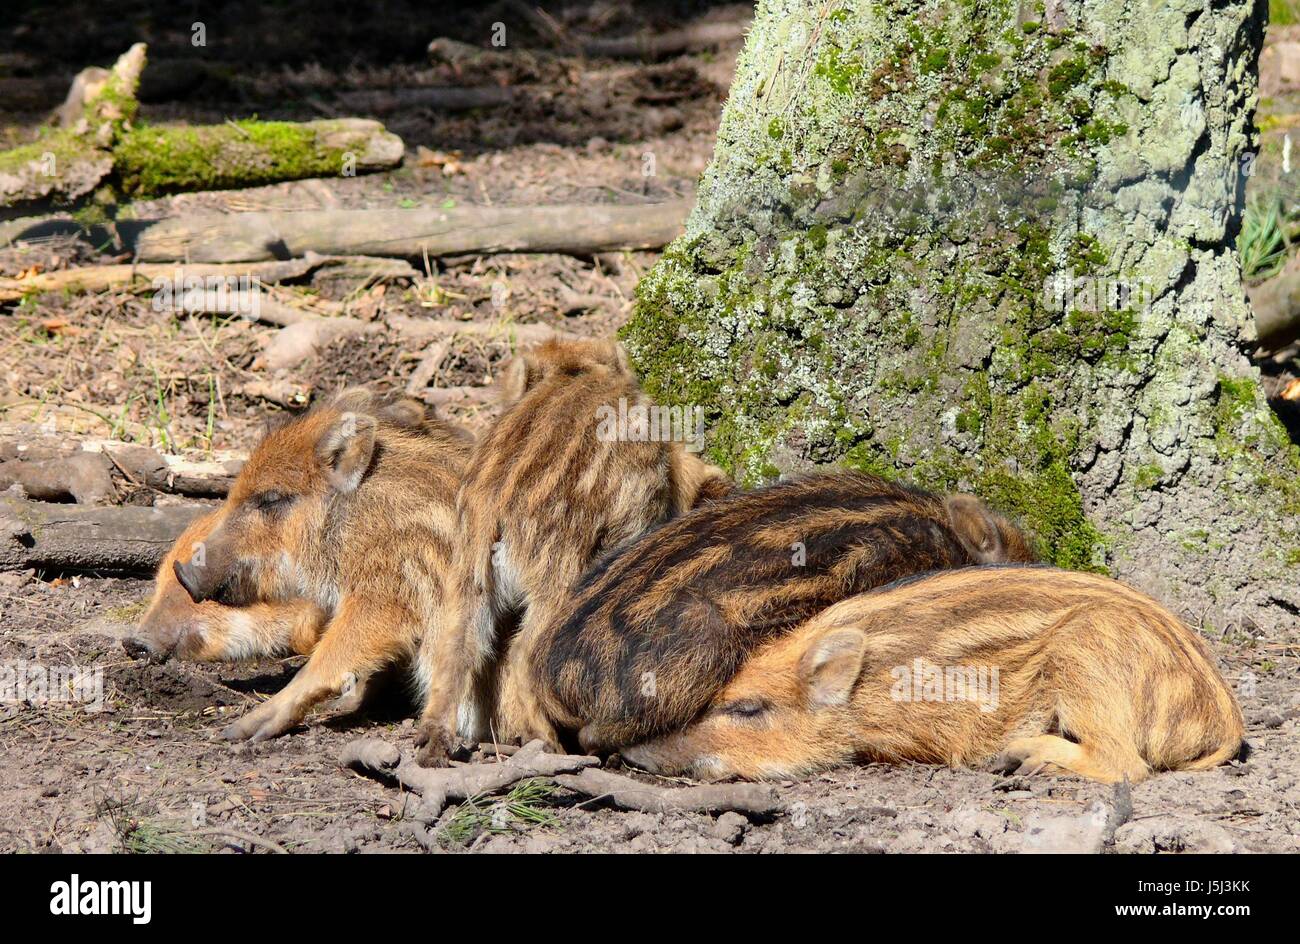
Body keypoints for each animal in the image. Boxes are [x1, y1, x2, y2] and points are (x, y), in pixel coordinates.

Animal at [163, 389, 471, 741]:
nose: (183, 571)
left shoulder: (388, 589)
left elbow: (333, 655)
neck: (354, 518)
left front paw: (240, 731)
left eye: (271, 499)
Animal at [413, 338, 731, 766]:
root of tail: (494, 508)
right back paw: (547, 743)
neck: (576, 373)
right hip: (557, 572)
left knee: (456, 646)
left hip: (466, 572)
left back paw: (433, 743)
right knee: (522, 653)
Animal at [621, 566, 1247, 784]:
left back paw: (1023, 758)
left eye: (749, 709)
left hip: (1089, 657)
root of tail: (1225, 723)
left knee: (1127, 764)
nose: (629, 753)